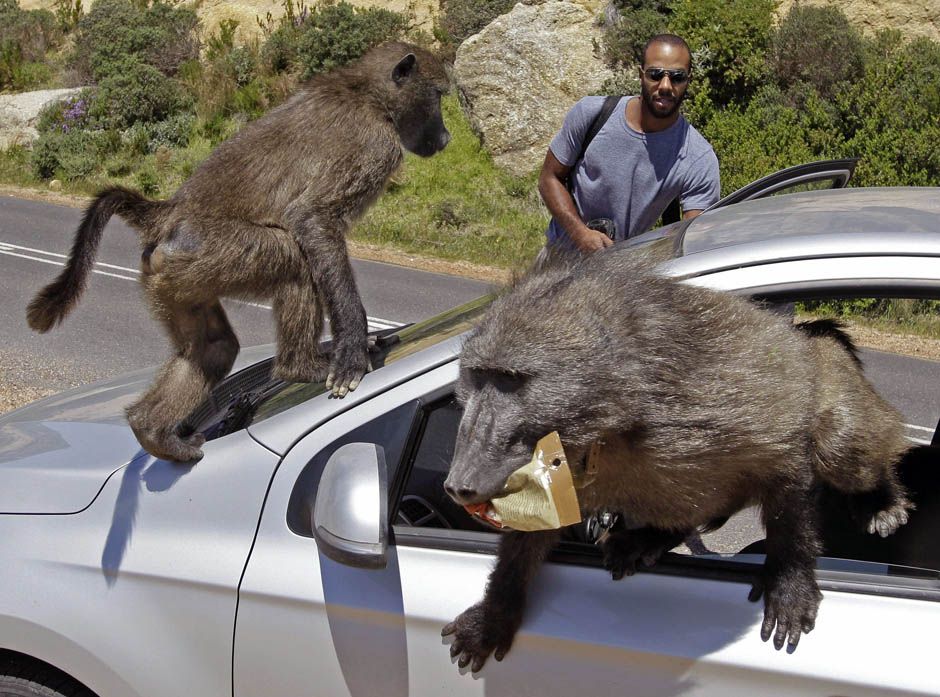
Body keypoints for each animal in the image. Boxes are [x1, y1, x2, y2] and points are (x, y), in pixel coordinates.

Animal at [26, 42, 451, 463]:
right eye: (439, 94)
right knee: (294, 262)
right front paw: (351, 352)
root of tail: (169, 213)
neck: (368, 94)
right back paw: (301, 368)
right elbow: (311, 217)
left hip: (173, 277)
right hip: (213, 250)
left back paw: (153, 432)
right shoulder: (374, 145)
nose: (446, 137)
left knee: (214, 348)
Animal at [441, 248, 911, 671]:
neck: (617, 413)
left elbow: (788, 471)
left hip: (835, 378)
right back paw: (648, 539)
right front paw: (495, 616)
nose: (460, 485)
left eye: (510, 380)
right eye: (478, 376)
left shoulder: (740, 416)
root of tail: (810, 334)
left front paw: (790, 581)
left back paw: (881, 501)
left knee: (840, 443)